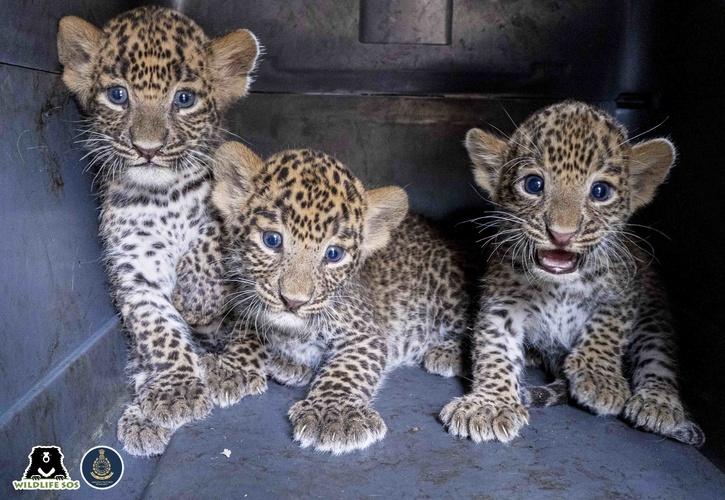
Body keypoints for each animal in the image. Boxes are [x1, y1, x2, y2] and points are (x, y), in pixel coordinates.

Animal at [57, 6, 260, 456]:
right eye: (118, 95)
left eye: (184, 99)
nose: (147, 148)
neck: (162, 198)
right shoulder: (134, 271)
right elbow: (157, 327)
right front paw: (174, 392)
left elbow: (208, 238)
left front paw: (197, 299)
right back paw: (143, 416)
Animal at [205, 141, 470, 454]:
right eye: (272, 240)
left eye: (333, 254)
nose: (293, 301)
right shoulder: (246, 306)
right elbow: (245, 336)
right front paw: (229, 368)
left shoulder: (363, 332)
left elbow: (346, 369)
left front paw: (335, 415)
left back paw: (447, 352)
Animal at [440, 101, 704, 446]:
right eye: (534, 185)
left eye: (600, 191)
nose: (561, 234)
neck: (558, 287)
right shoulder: (503, 301)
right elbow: (496, 347)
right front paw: (490, 405)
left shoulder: (625, 288)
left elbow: (607, 326)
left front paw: (598, 377)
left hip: (654, 315)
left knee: (658, 359)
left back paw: (661, 406)